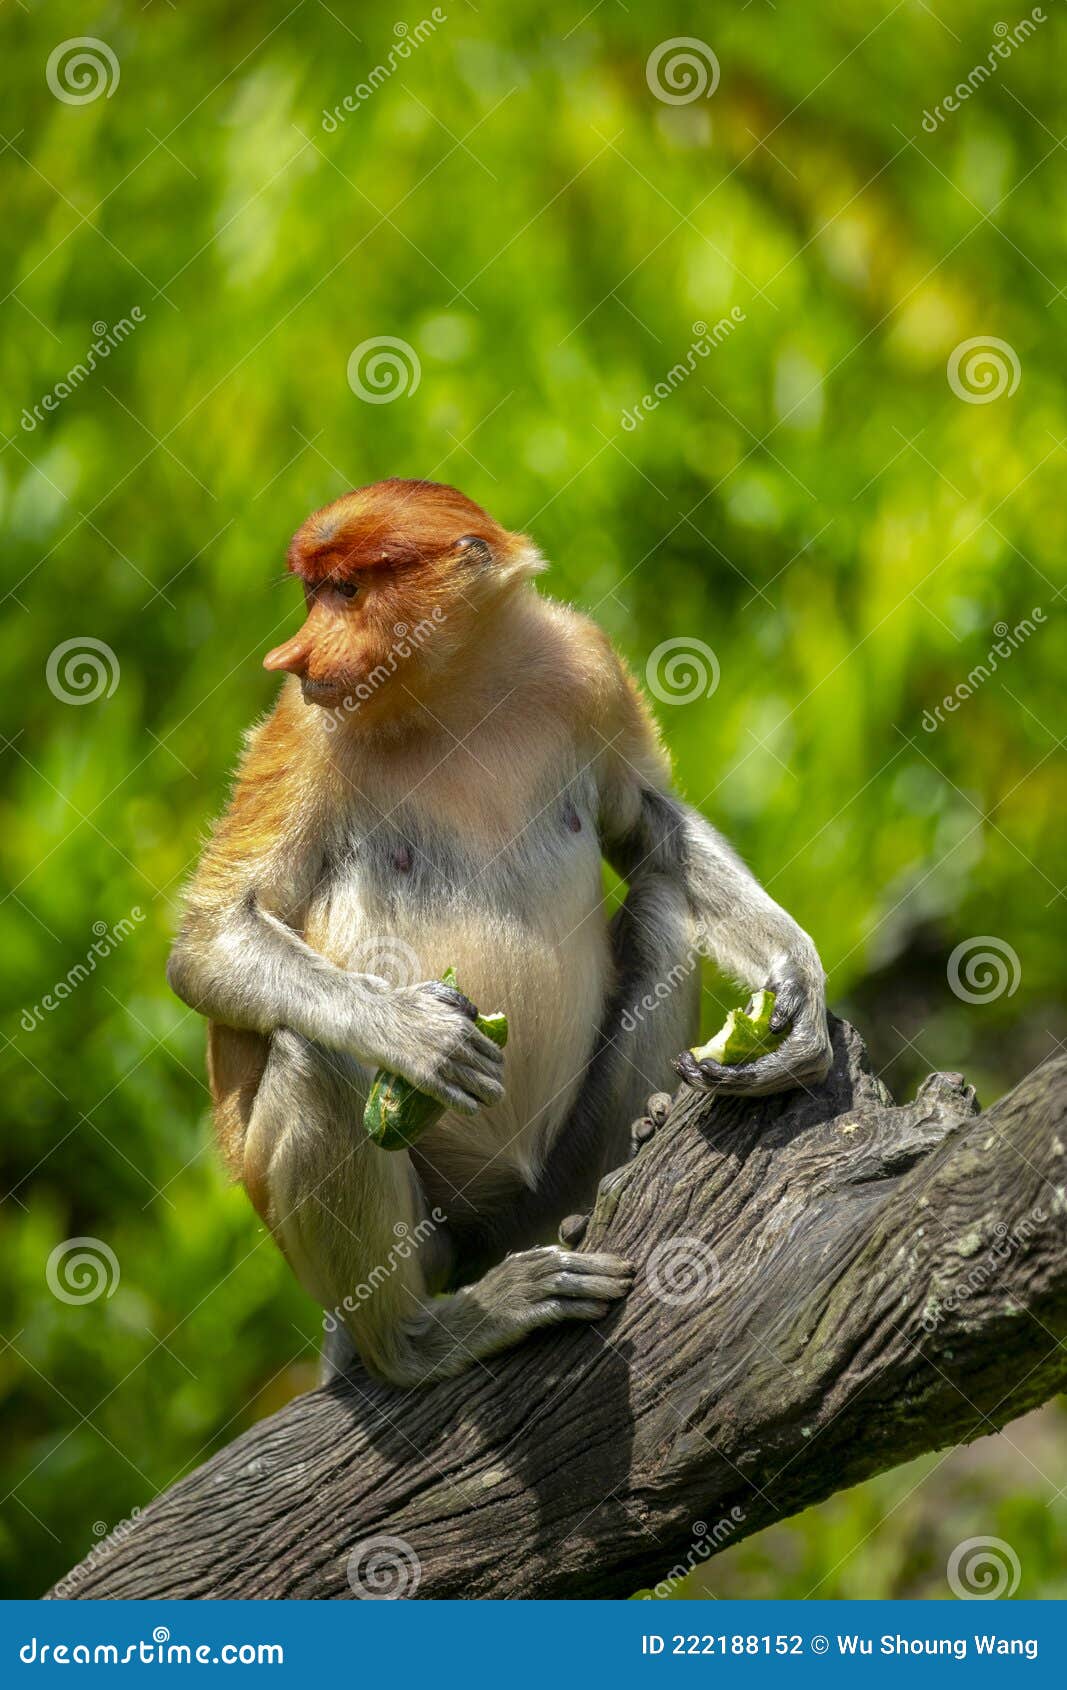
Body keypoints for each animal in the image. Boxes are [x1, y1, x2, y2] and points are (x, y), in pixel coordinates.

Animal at [167, 478, 832, 1388]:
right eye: (315, 594)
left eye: (347, 591)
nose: (291, 659)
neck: (454, 689)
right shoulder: (301, 733)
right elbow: (208, 940)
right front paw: (417, 1034)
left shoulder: (585, 664)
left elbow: (648, 825)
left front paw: (797, 995)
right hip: (418, 1238)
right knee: (314, 1054)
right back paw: (421, 1341)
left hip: (553, 1184)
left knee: (662, 911)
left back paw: (642, 1133)